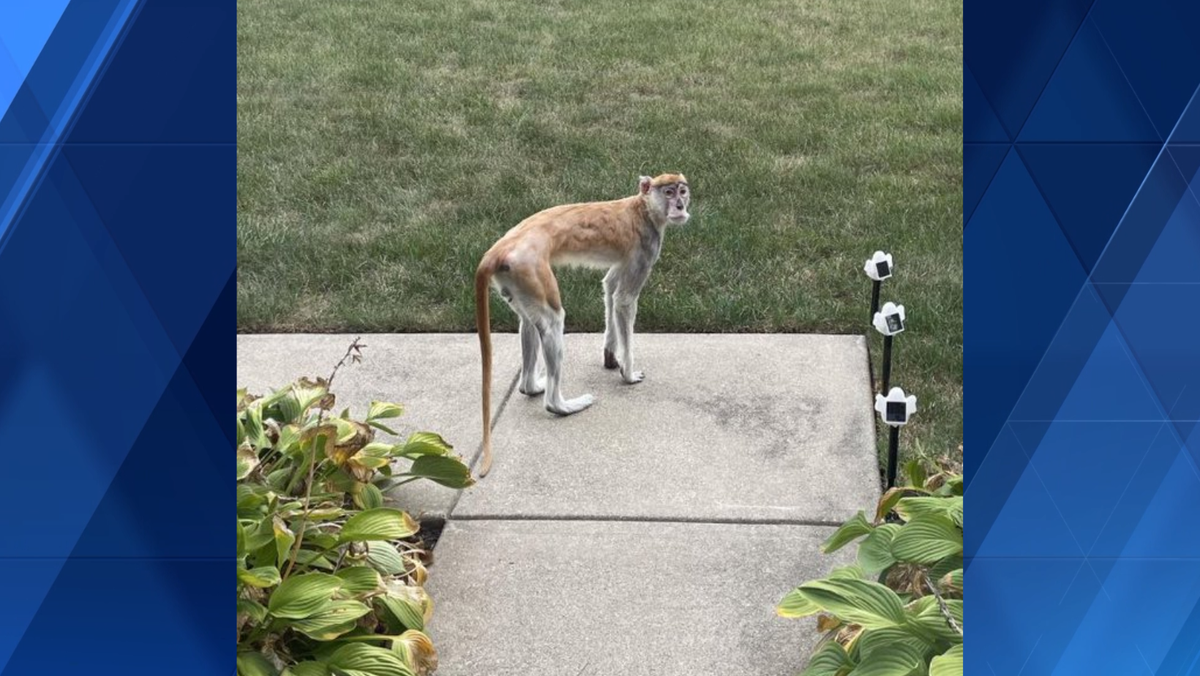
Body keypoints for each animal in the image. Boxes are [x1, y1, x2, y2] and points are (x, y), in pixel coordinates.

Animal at [473, 173, 691, 476]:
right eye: (668, 192)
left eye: (683, 190)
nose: (680, 206)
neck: (643, 208)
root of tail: (498, 251)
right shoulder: (645, 247)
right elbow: (624, 300)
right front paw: (628, 373)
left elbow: (610, 287)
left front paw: (610, 355)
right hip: (530, 269)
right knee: (553, 321)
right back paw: (560, 405)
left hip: (514, 278)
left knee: (528, 322)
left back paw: (531, 386)